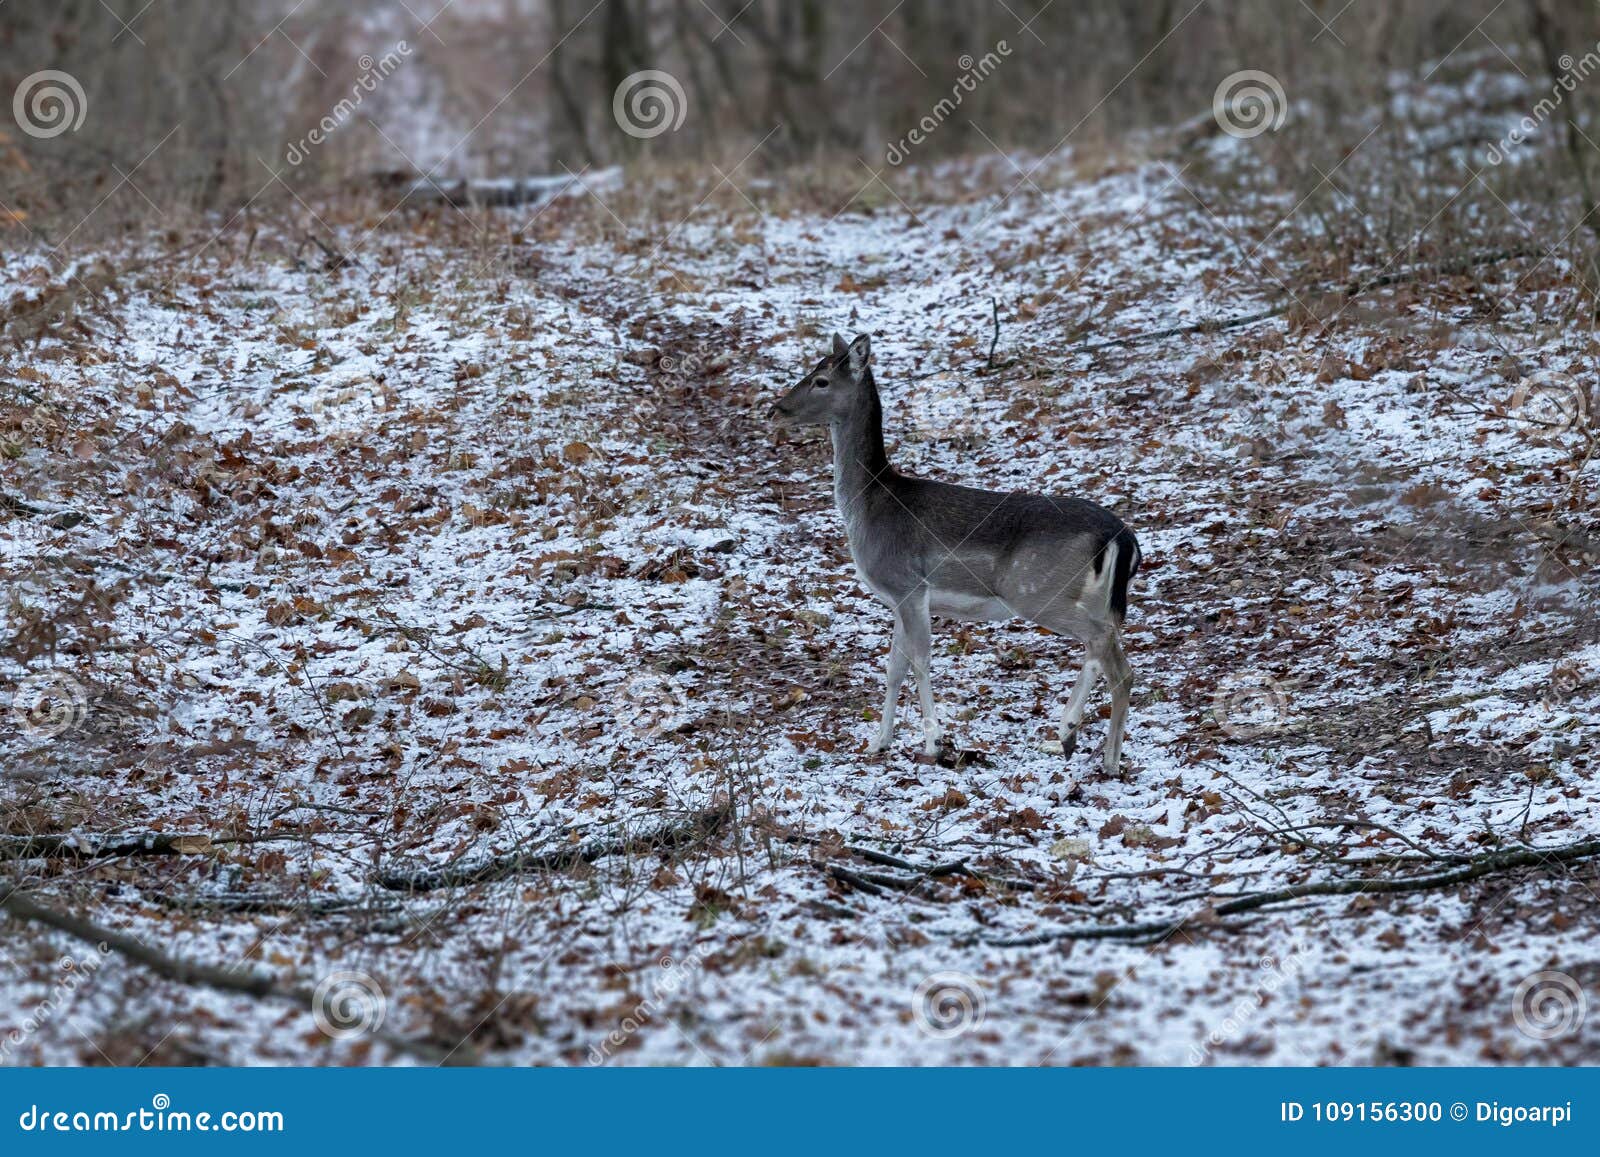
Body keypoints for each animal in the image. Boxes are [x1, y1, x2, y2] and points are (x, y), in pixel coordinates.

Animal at [773, 333, 1140, 776]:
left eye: (822, 380)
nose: (776, 410)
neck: (869, 507)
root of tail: (1121, 536)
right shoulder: (897, 599)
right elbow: (893, 667)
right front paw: (879, 742)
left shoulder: (908, 585)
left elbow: (919, 661)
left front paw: (933, 744)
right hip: (1092, 597)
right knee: (1108, 654)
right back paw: (1077, 742)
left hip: (1036, 589)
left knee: (1106, 650)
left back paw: (1097, 751)